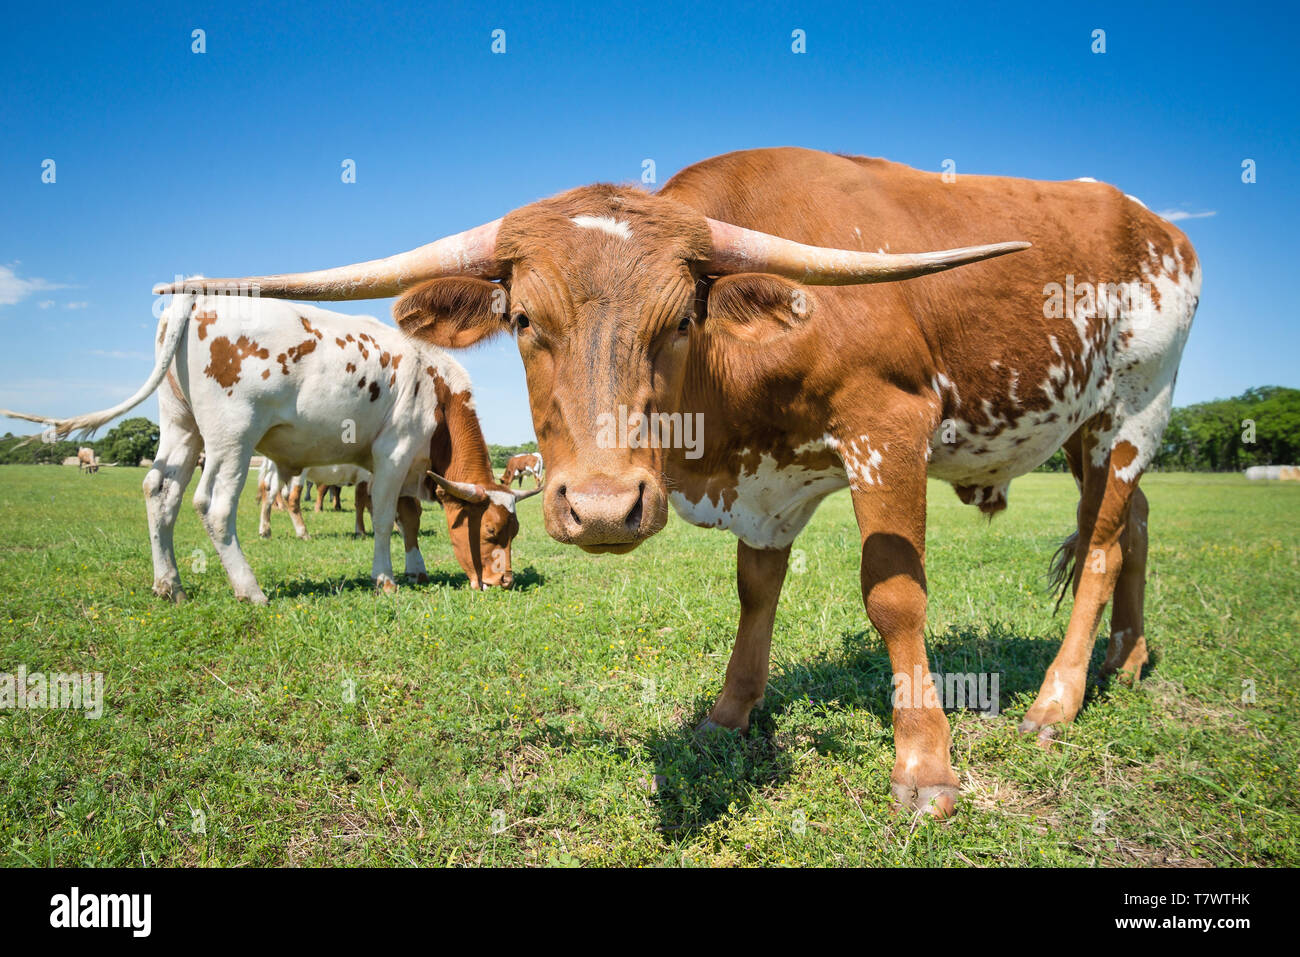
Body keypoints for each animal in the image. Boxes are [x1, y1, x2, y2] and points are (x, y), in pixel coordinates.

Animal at [5, 292, 540, 602]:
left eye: (514, 531)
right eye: (492, 531)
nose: (504, 581)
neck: (437, 386)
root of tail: (195, 297)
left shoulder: (411, 463)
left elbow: (408, 518)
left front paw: (416, 569)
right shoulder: (393, 451)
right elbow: (387, 515)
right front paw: (385, 577)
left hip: (182, 428)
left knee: (160, 493)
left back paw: (169, 584)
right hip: (233, 436)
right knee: (214, 506)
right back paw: (249, 589)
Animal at [149, 147, 1200, 816]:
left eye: (681, 318)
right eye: (523, 319)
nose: (604, 505)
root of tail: (1156, 224)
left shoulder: (887, 429)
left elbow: (893, 595)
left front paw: (925, 764)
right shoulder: (770, 485)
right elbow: (755, 591)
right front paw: (727, 715)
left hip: (1136, 408)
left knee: (1104, 545)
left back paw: (1058, 697)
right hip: (1092, 426)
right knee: (1136, 526)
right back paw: (1130, 658)